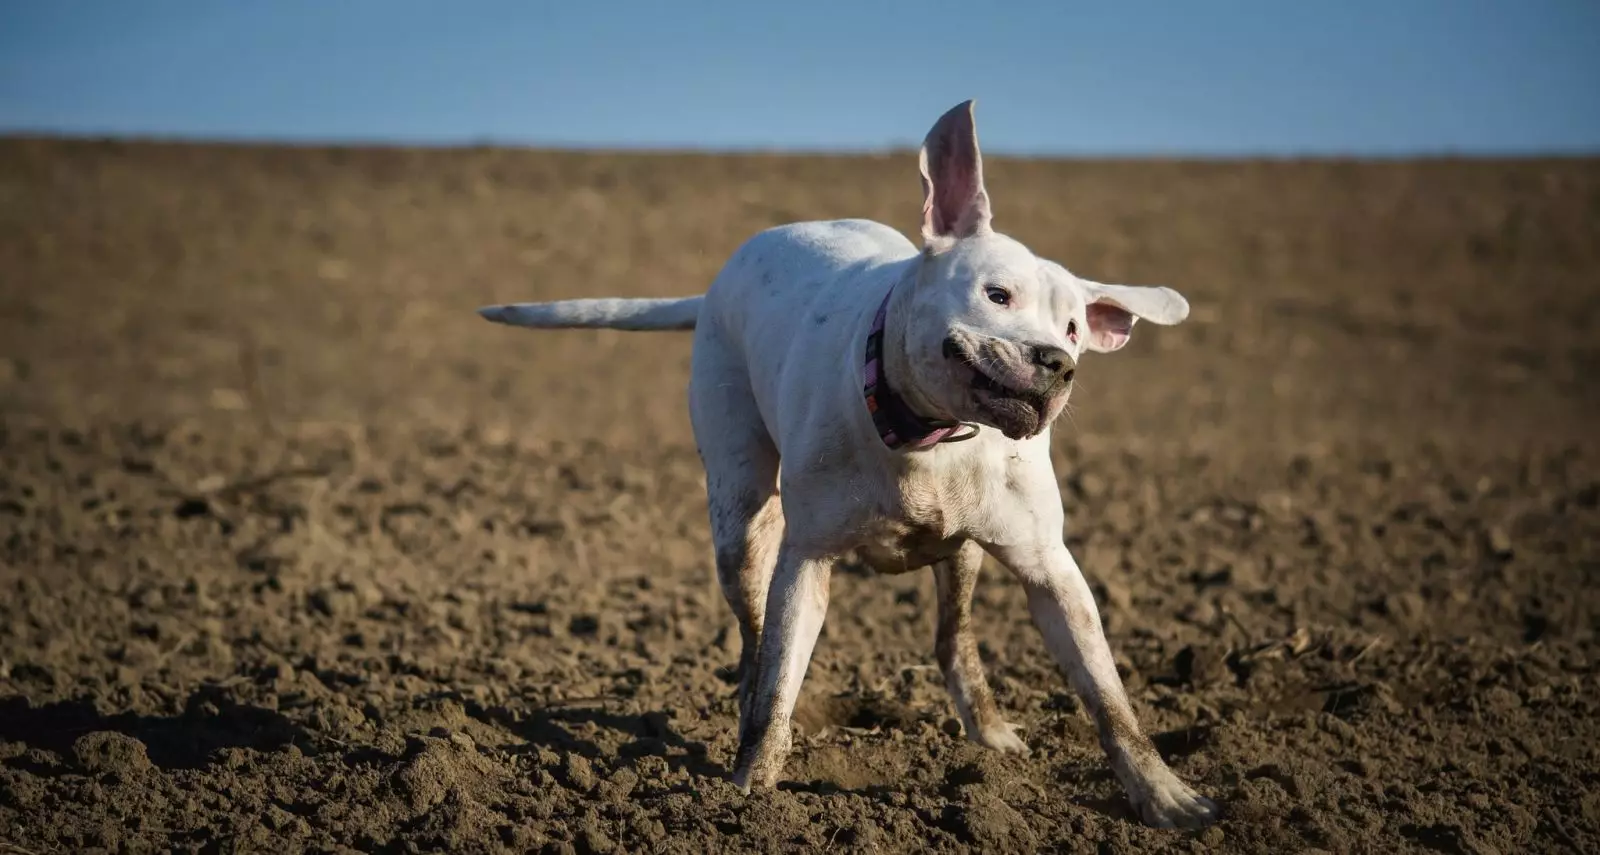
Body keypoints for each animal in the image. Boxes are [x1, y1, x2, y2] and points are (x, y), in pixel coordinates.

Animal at [480, 100, 1216, 832]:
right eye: (997, 295)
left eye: (1072, 329)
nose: (1057, 363)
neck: (923, 434)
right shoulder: (806, 559)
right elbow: (779, 678)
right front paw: (750, 794)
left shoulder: (1050, 569)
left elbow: (1109, 697)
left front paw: (1165, 794)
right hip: (739, 519)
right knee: (756, 639)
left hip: (961, 551)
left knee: (954, 636)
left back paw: (987, 729)